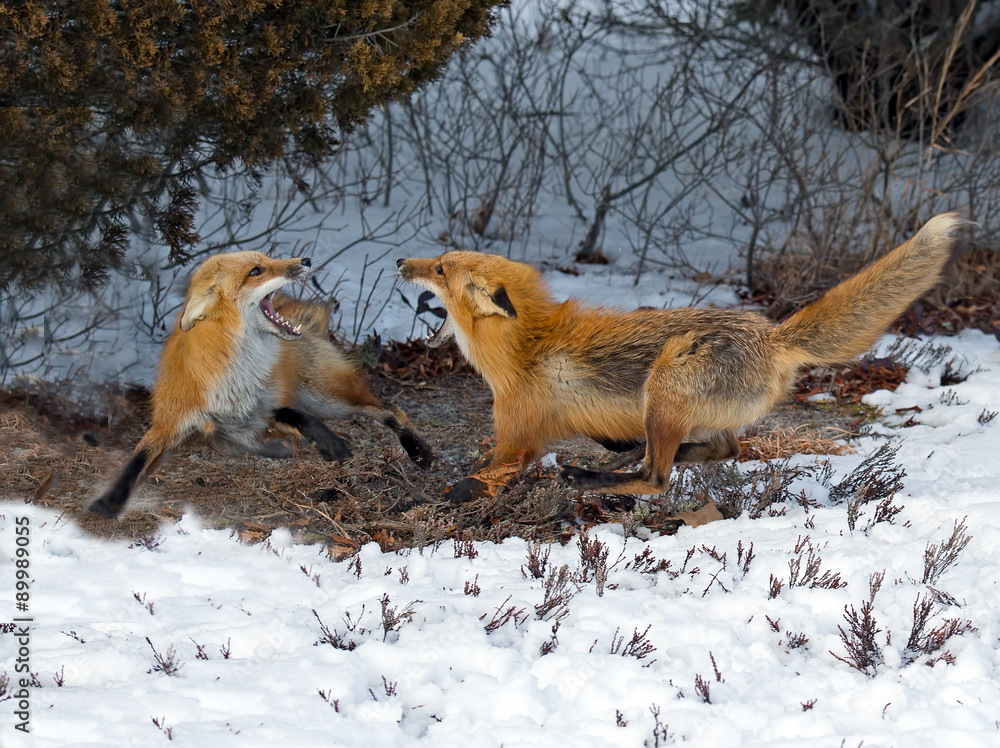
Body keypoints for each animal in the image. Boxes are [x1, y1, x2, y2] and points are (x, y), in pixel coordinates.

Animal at [89, 251, 432, 518]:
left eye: (268, 258)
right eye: (255, 271)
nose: (306, 260)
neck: (234, 375)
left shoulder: (262, 409)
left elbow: (290, 414)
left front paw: (329, 443)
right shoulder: (171, 422)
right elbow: (135, 462)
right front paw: (107, 504)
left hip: (327, 399)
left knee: (388, 409)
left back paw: (418, 451)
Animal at [398, 212, 966, 503]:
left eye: (441, 268)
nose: (401, 261)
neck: (526, 349)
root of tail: (771, 334)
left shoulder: (517, 438)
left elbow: (476, 478)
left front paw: (436, 496)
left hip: (665, 385)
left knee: (657, 478)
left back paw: (592, 478)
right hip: (686, 410)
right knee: (722, 451)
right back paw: (627, 458)